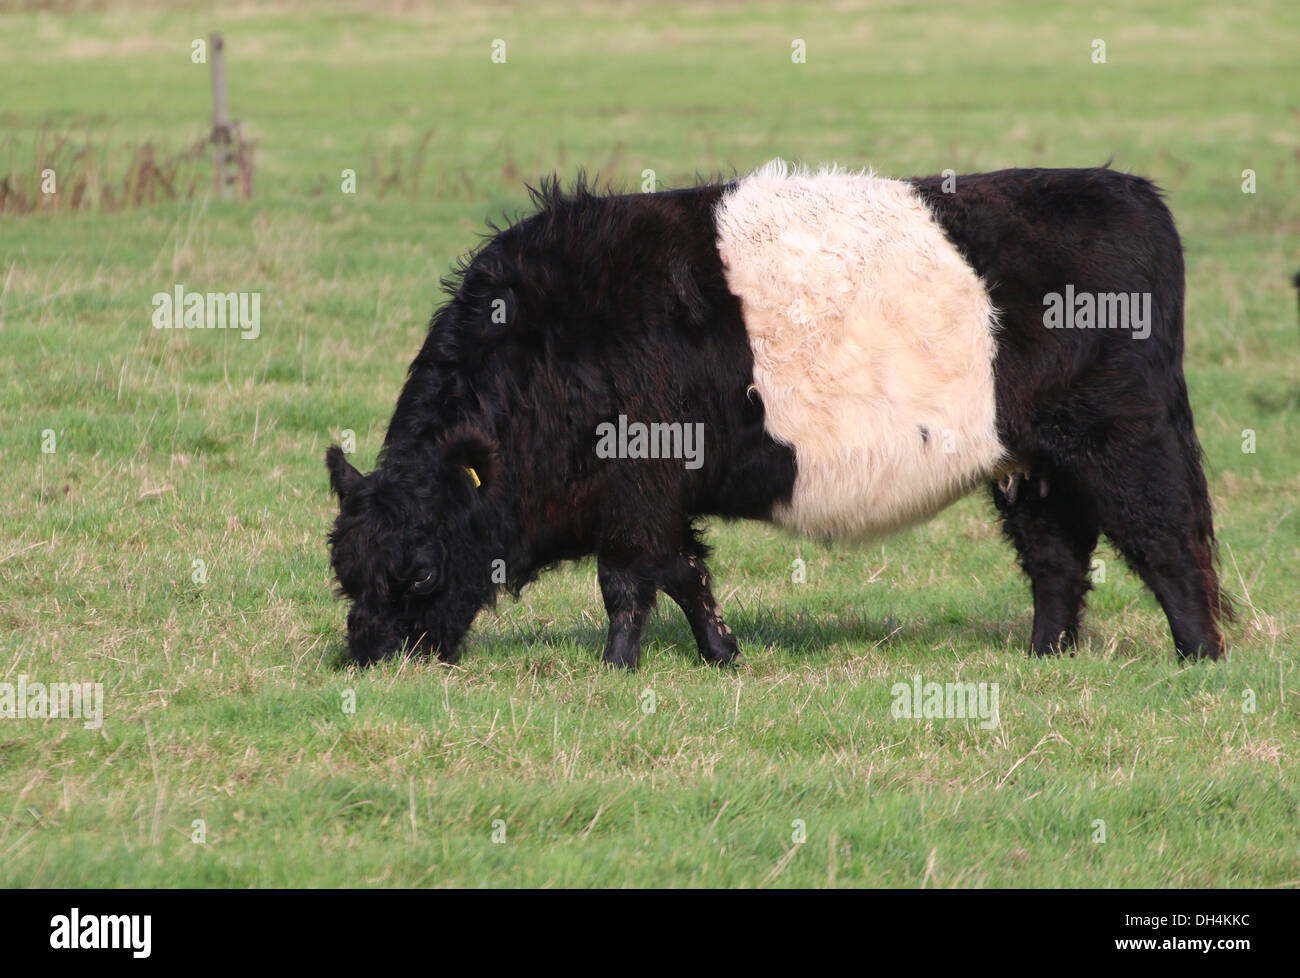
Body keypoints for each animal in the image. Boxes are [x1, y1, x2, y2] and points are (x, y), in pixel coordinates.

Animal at [325, 161, 1231, 668]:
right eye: (345, 572)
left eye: (421, 572)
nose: (371, 660)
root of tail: (1127, 190)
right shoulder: (657, 500)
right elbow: (687, 576)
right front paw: (722, 655)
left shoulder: (637, 489)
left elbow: (629, 583)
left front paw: (617, 668)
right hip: (1031, 463)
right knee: (1057, 559)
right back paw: (1046, 659)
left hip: (1124, 440)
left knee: (1166, 539)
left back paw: (1200, 656)